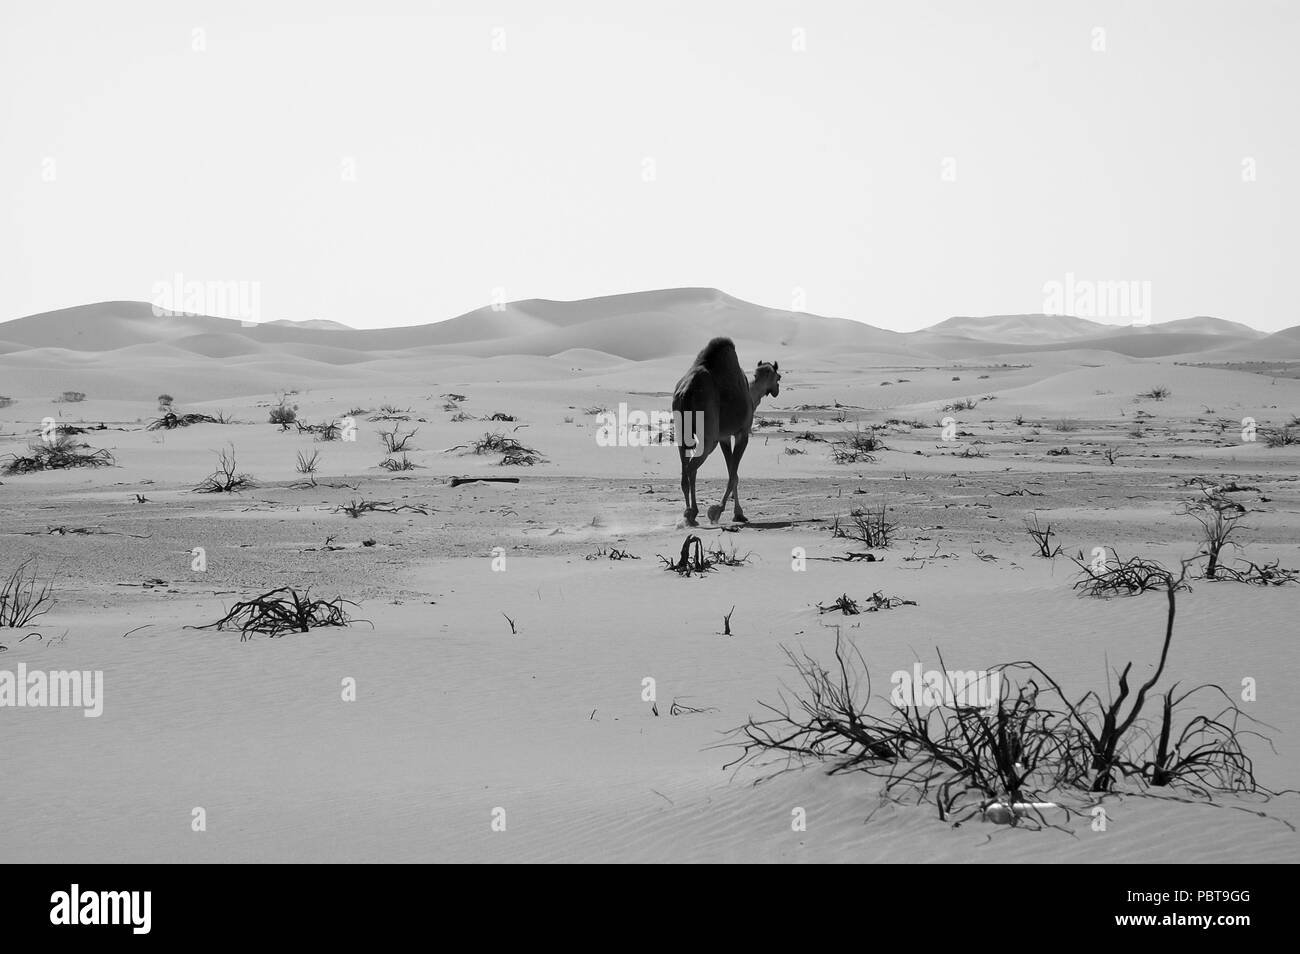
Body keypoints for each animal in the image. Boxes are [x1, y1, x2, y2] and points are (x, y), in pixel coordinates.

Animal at [671, 337, 781, 526]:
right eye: (779, 377)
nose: (776, 390)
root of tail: (685, 392)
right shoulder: (742, 433)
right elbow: (734, 475)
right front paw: (718, 511)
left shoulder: (724, 437)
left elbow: (732, 472)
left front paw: (738, 514)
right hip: (708, 436)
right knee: (692, 468)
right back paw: (692, 513)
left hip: (681, 432)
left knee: (685, 471)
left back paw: (689, 516)